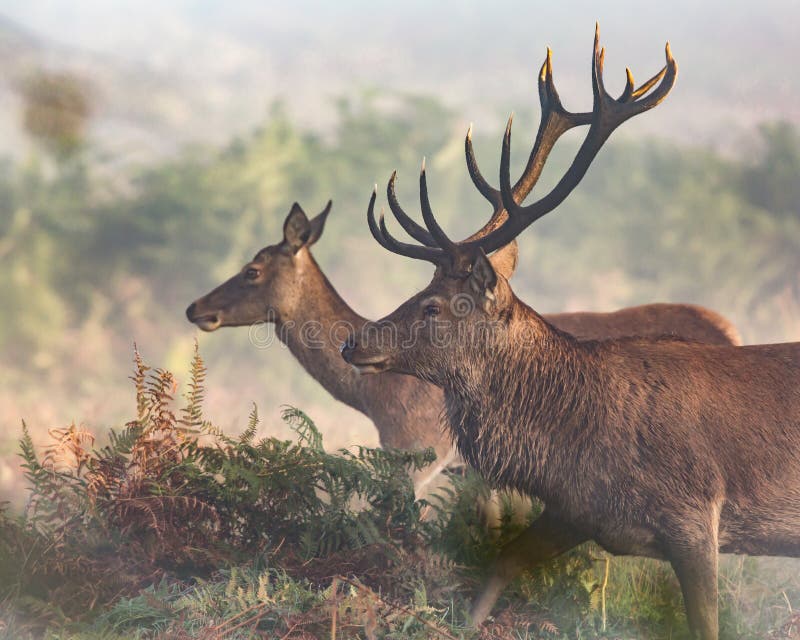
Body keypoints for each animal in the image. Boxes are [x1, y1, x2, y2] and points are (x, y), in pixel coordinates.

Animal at [340, 26, 800, 640]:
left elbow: (704, 623)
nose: (354, 342)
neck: (579, 439)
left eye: (433, 305)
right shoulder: (578, 511)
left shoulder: (694, 516)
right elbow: (502, 562)